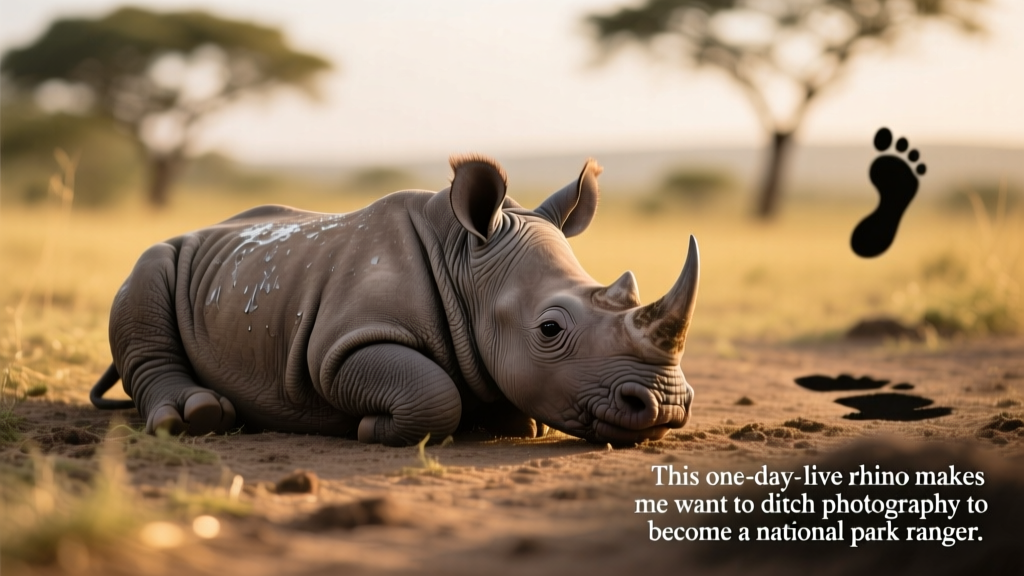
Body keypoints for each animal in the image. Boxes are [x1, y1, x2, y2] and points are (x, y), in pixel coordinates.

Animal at [91, 155, 699, 446]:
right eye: (549, 329)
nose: (664, 405)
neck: (465, 262)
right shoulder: (337, 348)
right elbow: (431, 391)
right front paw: (369, 429)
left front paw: (510, 422)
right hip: (163, 258)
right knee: (147, 281)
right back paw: (198, 420)